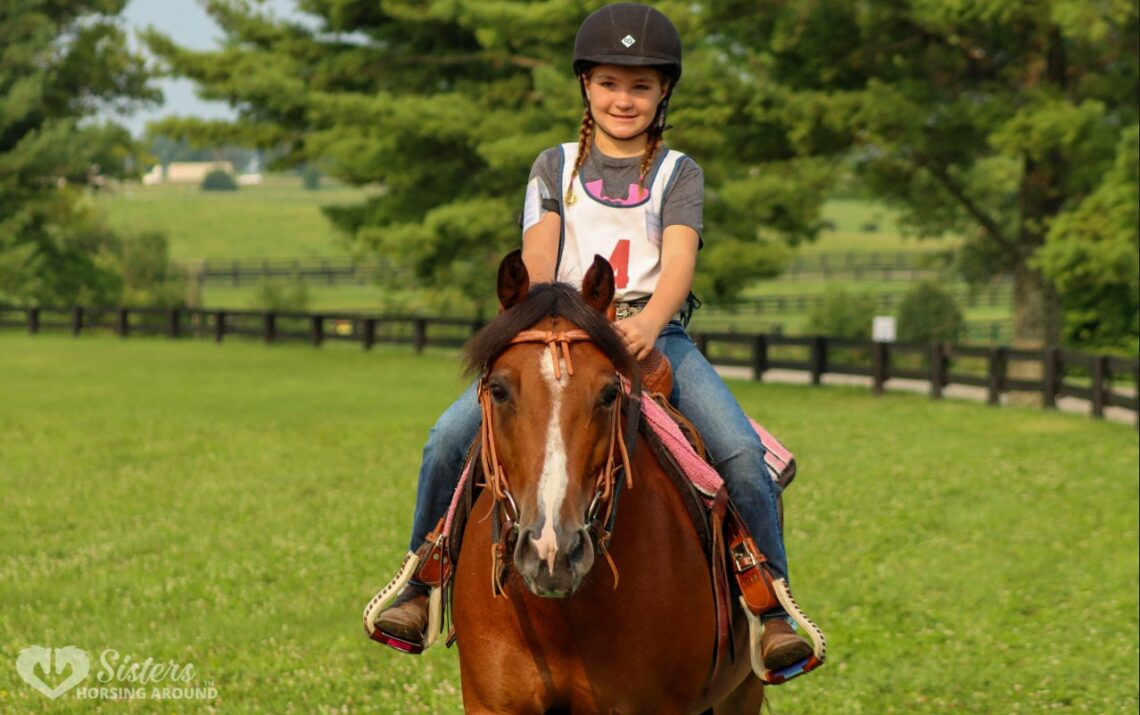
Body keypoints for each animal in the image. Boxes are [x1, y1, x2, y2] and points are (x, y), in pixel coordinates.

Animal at [449, 250, 763, 714]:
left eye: (609, 393)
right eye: (499, 389)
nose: (553, 551)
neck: (560, 620)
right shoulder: (492, 704)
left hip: (743, 691)